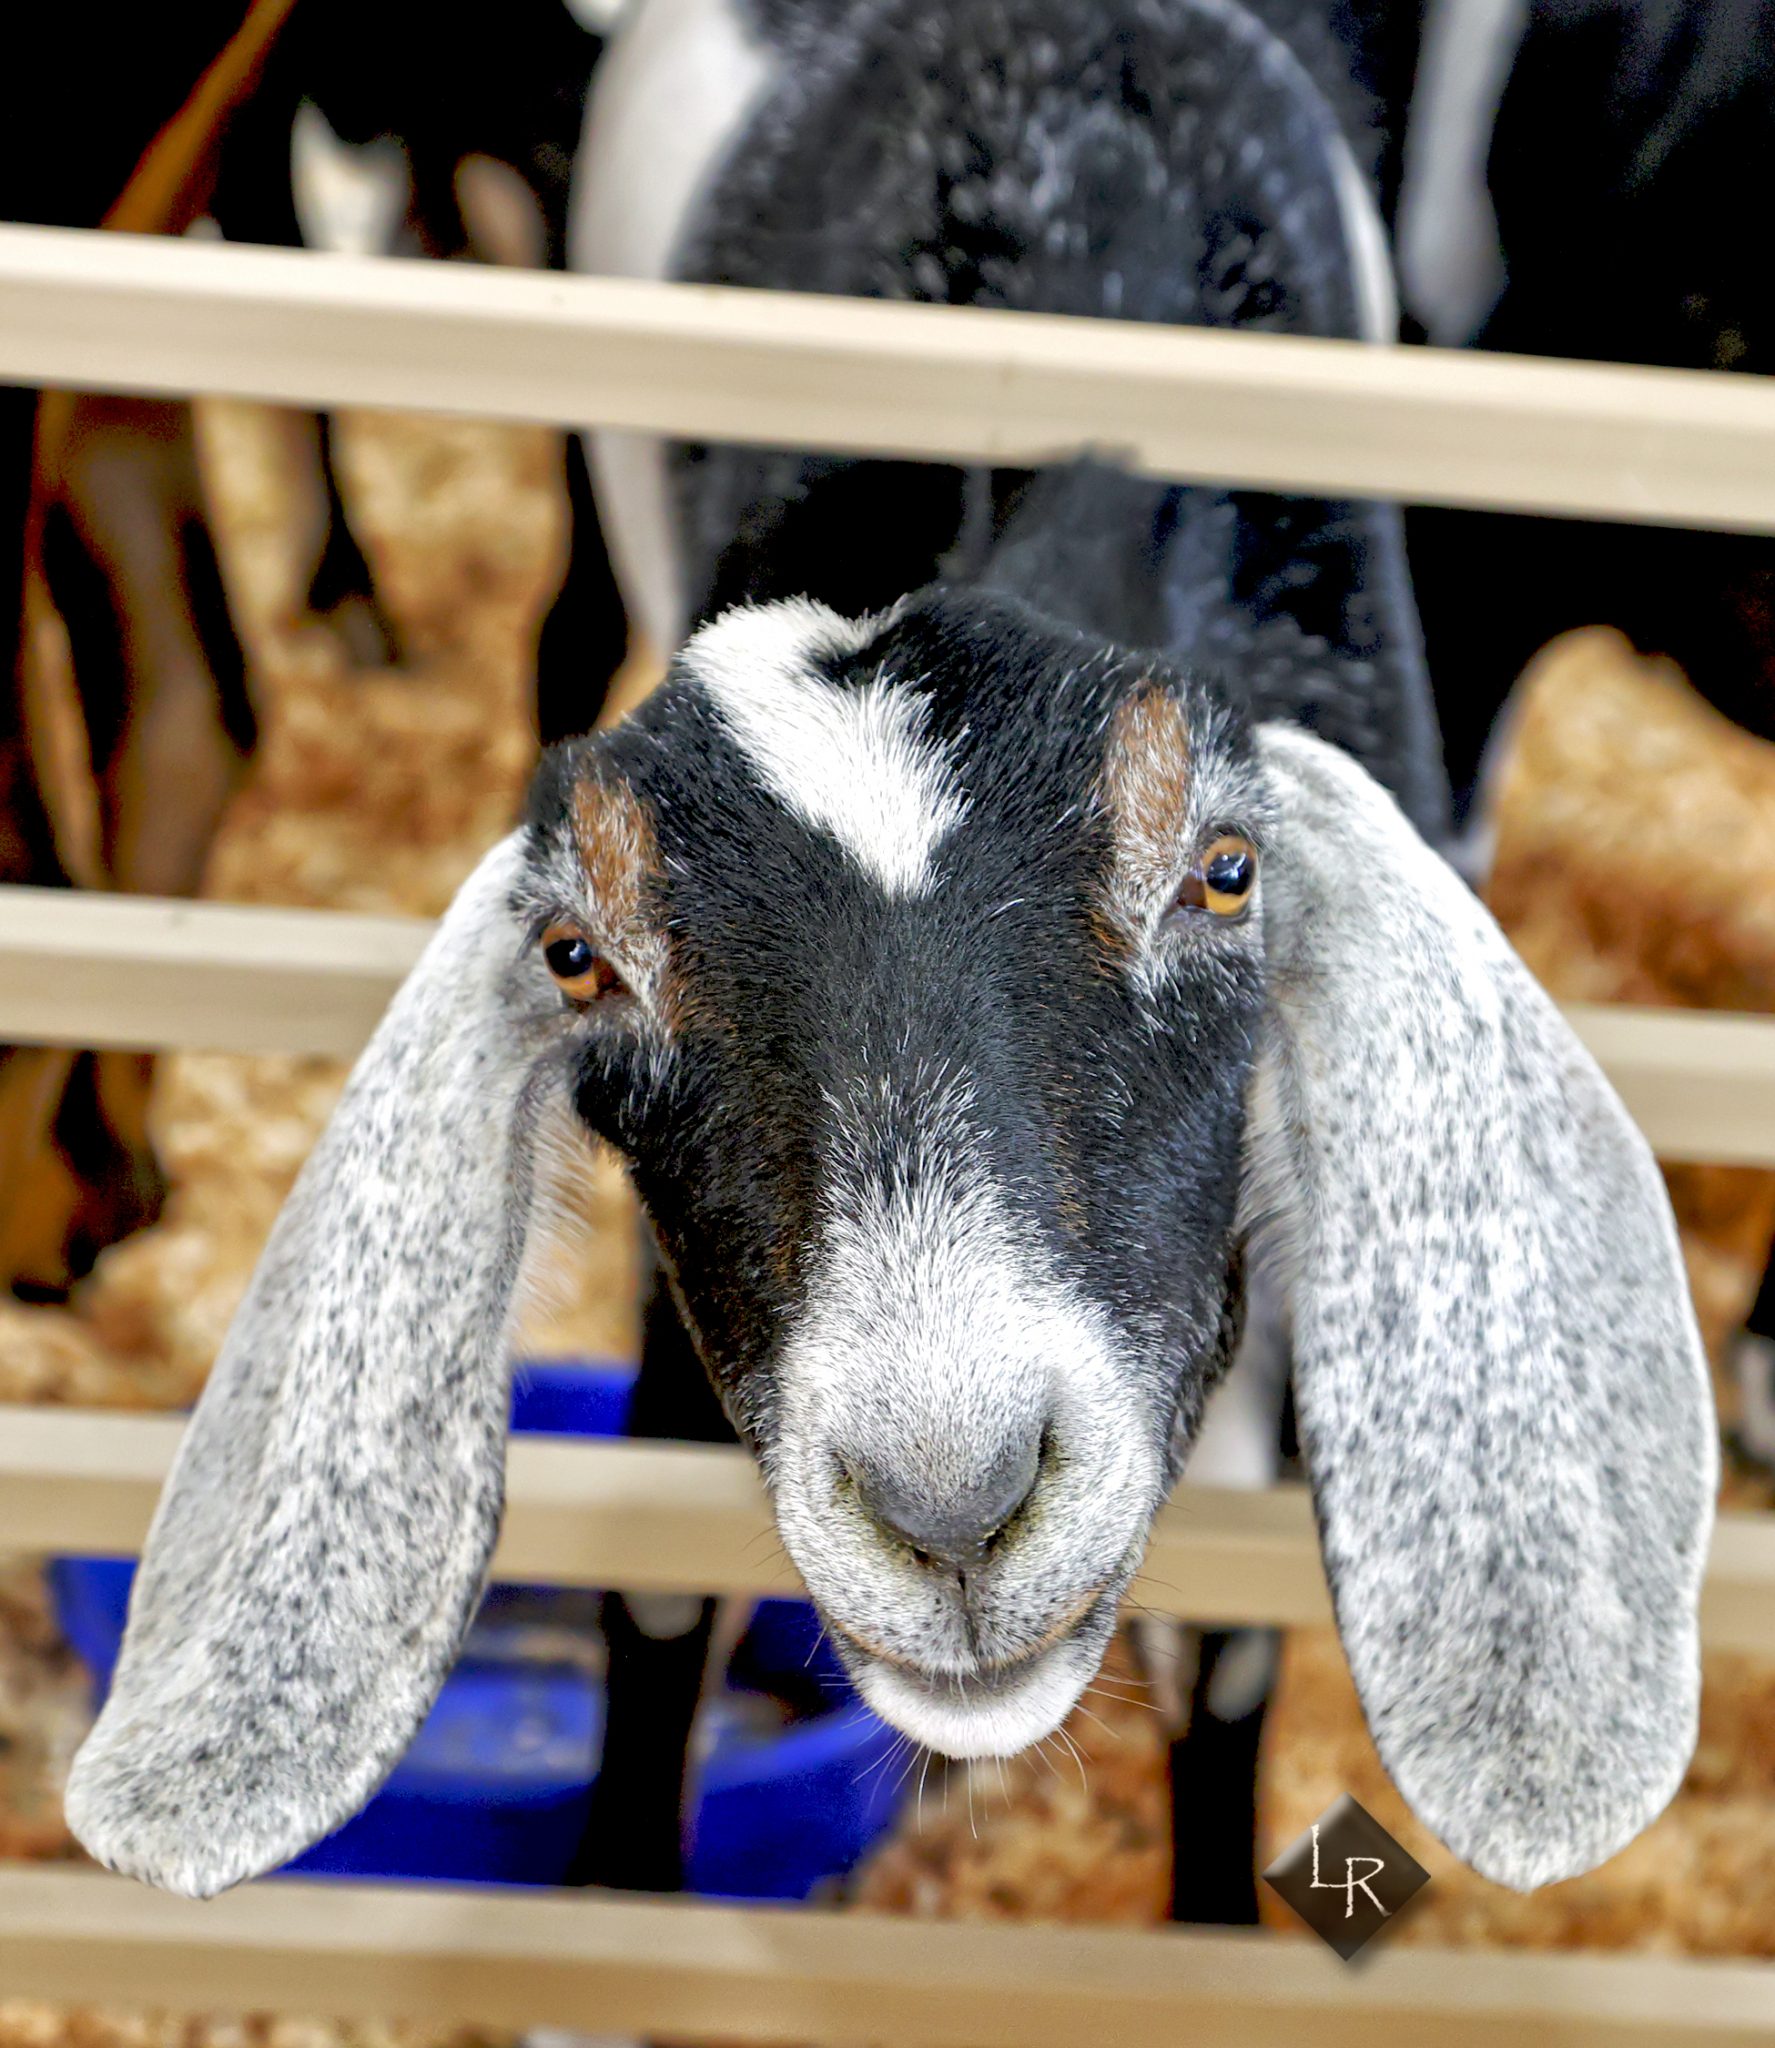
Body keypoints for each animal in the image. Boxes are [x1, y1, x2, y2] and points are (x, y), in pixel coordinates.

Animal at [66, 0, 1715, 1909]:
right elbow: (656, 1586)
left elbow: (1237, 1648)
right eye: (579, 956)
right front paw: (619, 1904)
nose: (954, 1497)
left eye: (1224, 872)